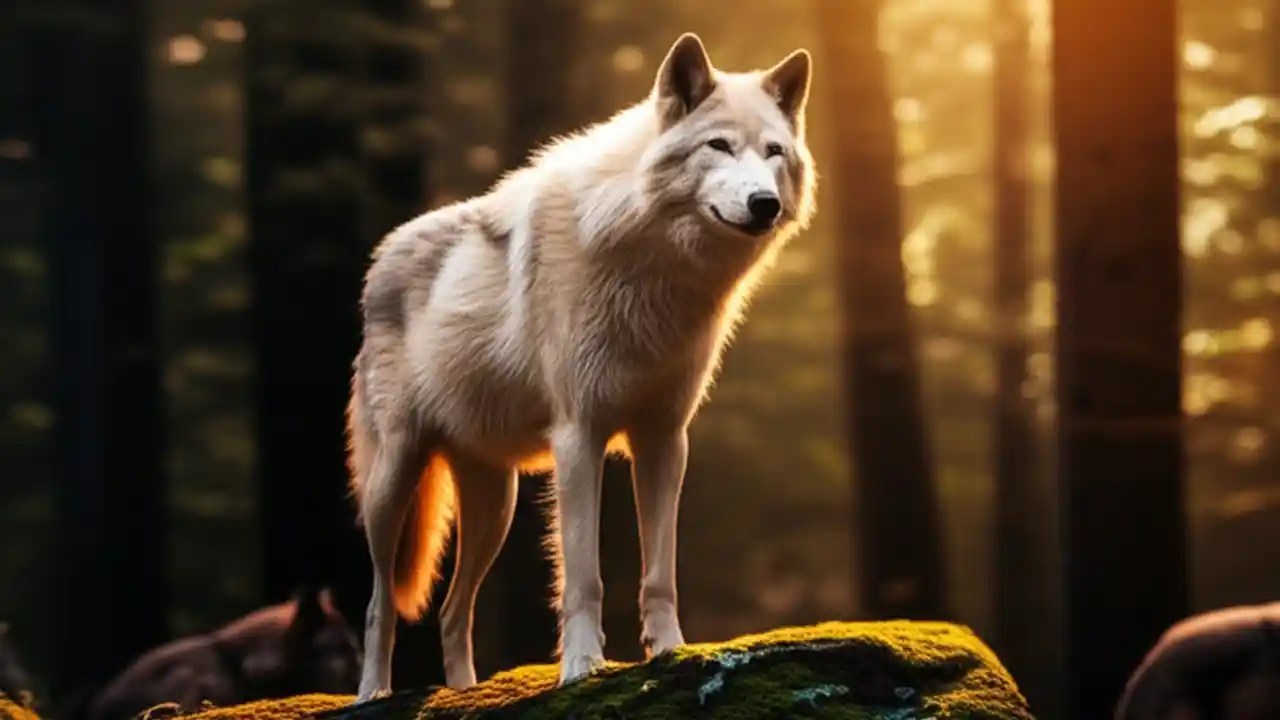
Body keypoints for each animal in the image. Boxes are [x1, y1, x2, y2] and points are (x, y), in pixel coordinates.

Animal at [348, 32, 817, 700]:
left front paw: (671, 653)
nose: (764, 203)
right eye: (719, 145)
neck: (655, 268)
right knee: (380, 601)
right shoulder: (579, 436)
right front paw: (582, 667)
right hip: (393, 484)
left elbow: (660, 572)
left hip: (496, 506)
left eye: (774, 152)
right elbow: (584, 575)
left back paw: (466, 692)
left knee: (452, 611)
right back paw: (372, 694)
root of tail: (383, 253)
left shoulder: (664, 441)